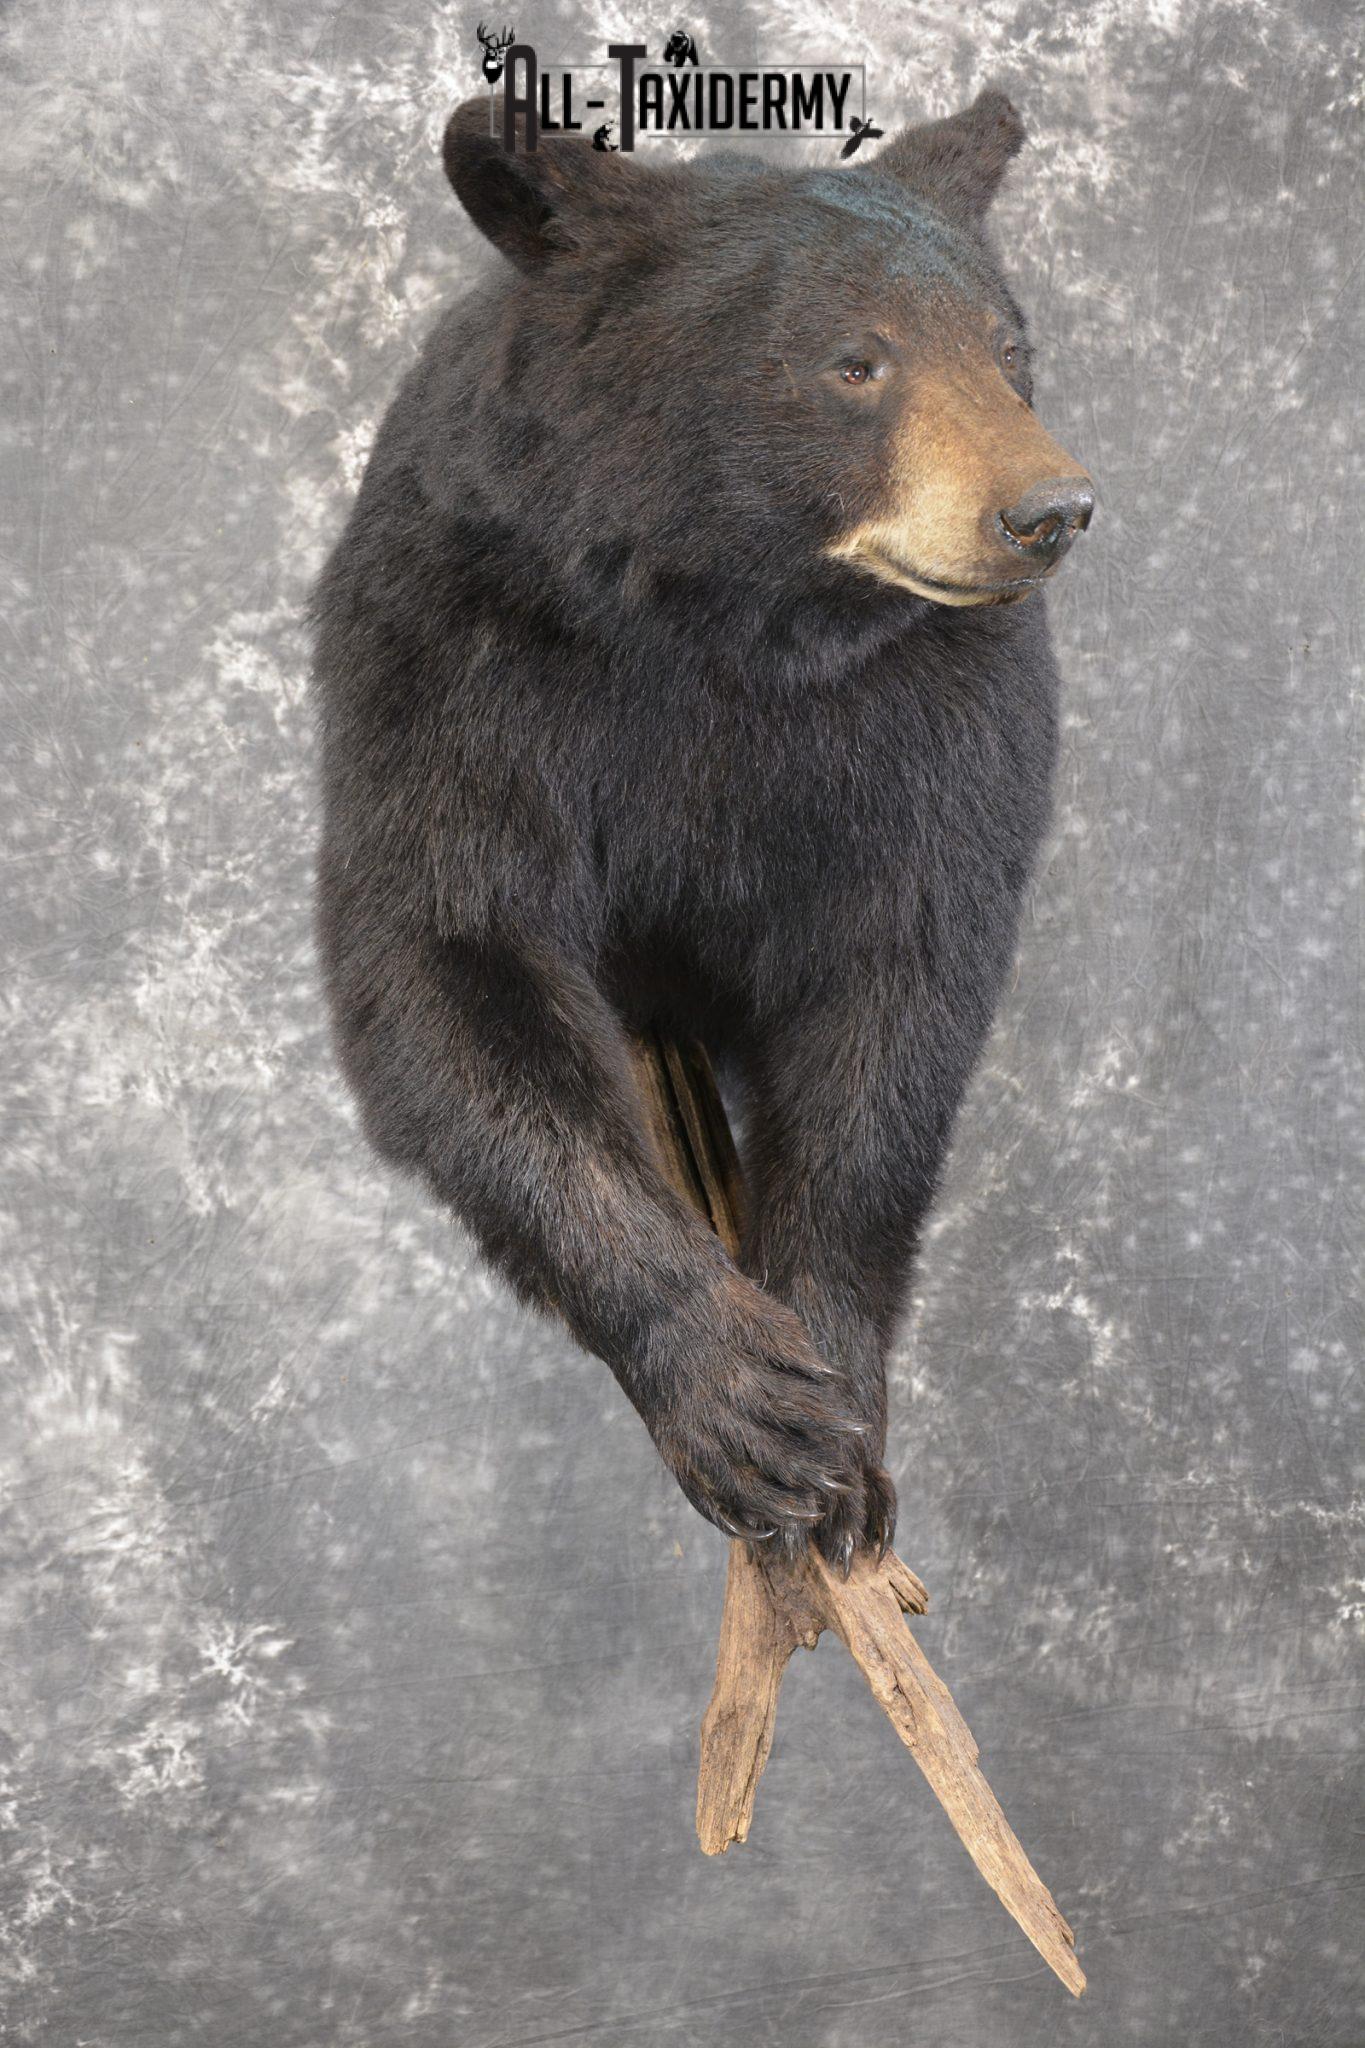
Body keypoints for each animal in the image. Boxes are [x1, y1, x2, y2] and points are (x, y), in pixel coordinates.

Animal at [310, 90, 1095, 1571]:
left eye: (1009, 348)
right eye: (855, 361)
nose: (1048, 510)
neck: (735, 617)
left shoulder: (941, 710)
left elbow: (897, 993)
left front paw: (840, 1421)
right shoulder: (461, 645)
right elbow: (453, 953)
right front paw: (741, 1398)